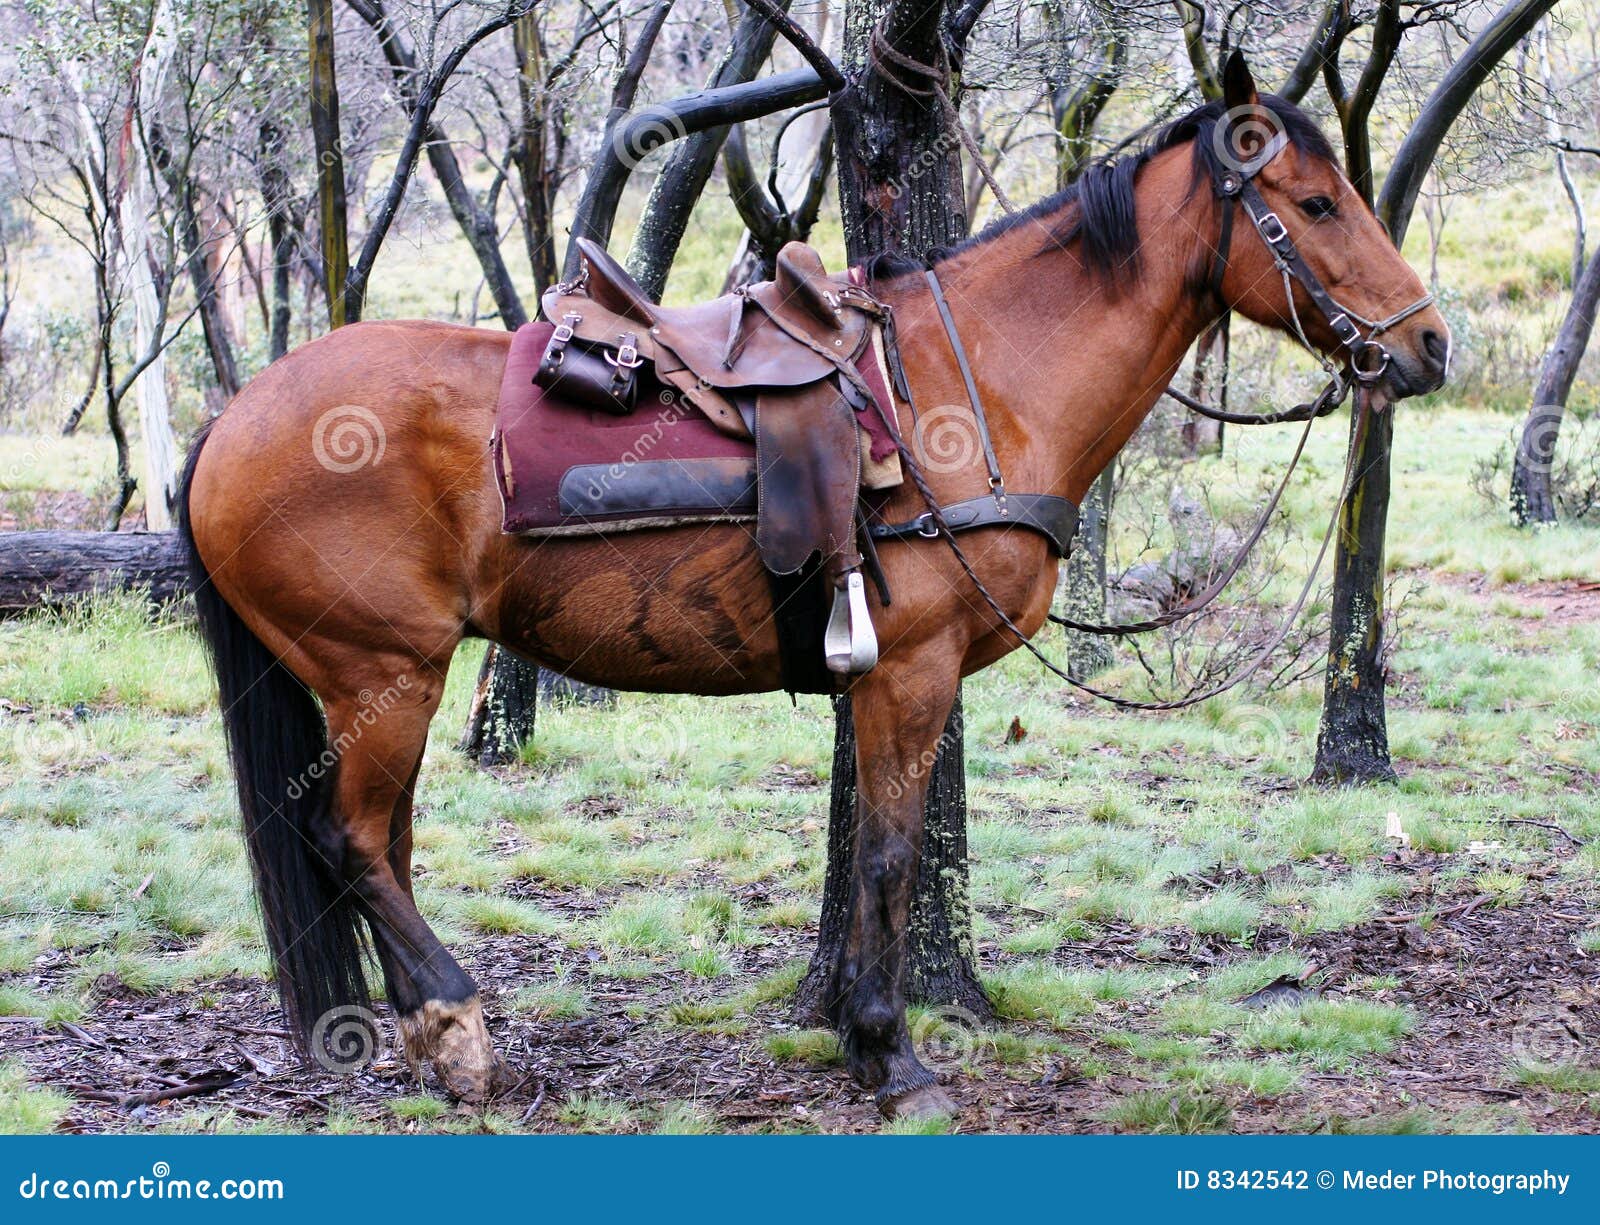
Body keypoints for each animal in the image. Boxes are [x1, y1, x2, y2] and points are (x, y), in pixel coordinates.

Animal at [177, 57, 1448, 1119]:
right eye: (1317, 205)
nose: (1430, 345)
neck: (975, 385)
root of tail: (231, 421)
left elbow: (879, 851)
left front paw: (858, 1032)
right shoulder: (911, 672)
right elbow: (887, 853)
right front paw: (887, 1052)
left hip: (388, 683)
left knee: (382, 843)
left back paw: (433, 1043)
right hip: (383, 672)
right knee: (350, 838)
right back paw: (455, 1019)